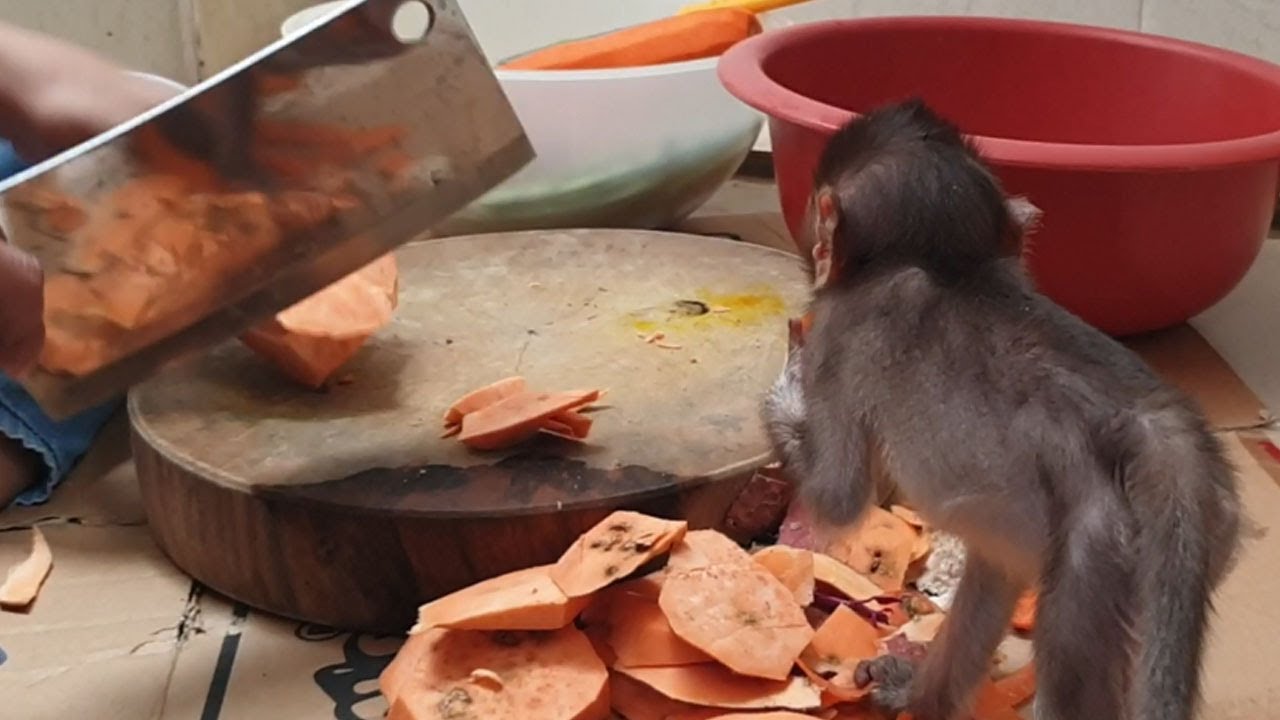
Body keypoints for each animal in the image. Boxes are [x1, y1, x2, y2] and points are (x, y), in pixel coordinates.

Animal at [760, 98, 1242, 720]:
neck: (942, 263)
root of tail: (1165, 432)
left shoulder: (842, 335)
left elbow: (838, 497)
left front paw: (785, 385)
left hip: (1098, 552)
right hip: (1208, 538)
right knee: (995, 568)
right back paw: (923, 695)